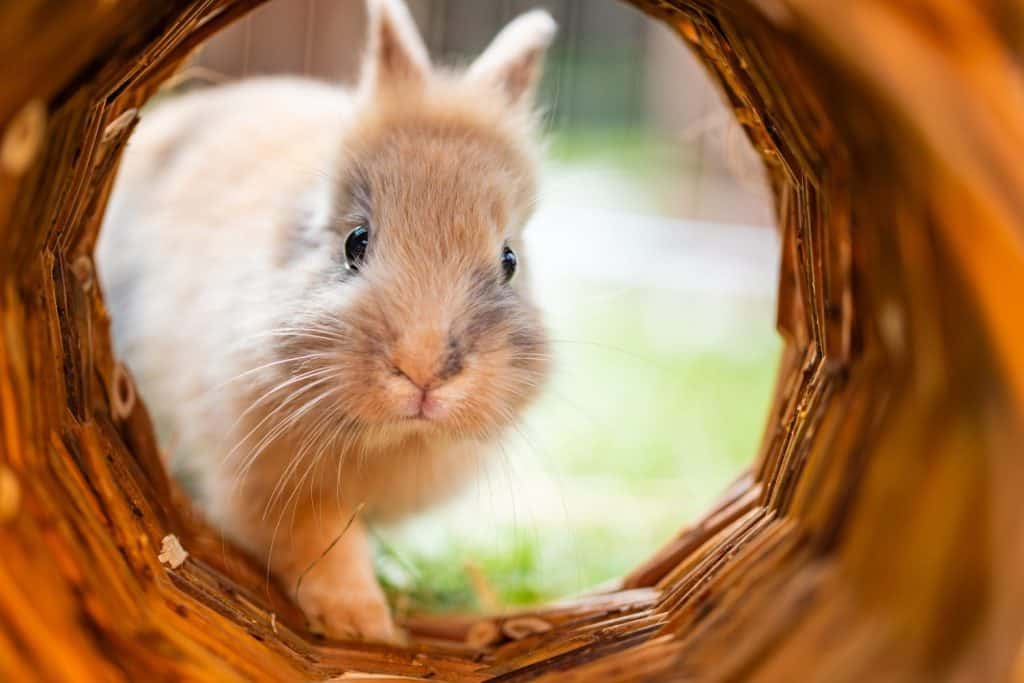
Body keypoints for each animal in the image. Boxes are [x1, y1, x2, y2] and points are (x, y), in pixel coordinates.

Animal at [96, 0, 555, 642]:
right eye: (354, 242)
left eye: (510, 261)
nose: (423, 369)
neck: (389, 436)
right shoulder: (271, 481)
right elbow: (320, 541)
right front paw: (360, 624)